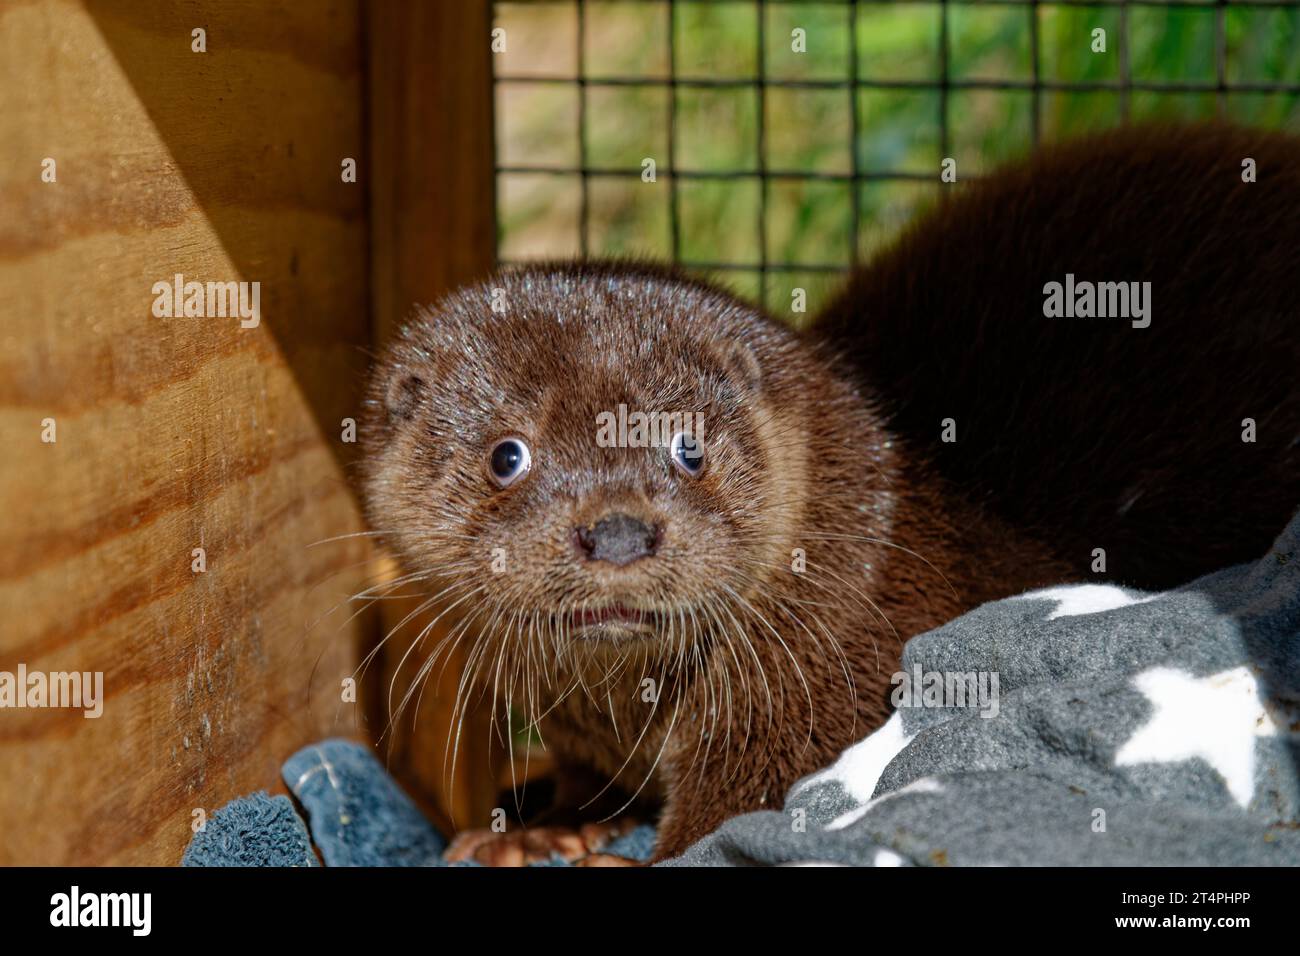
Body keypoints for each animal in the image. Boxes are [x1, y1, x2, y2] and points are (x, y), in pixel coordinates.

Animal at [361, 123, 1300, 864]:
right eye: (506, 455)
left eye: (688, 445)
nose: (619, 532)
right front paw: (539, 829)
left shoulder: (826, 663)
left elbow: (744, 806)